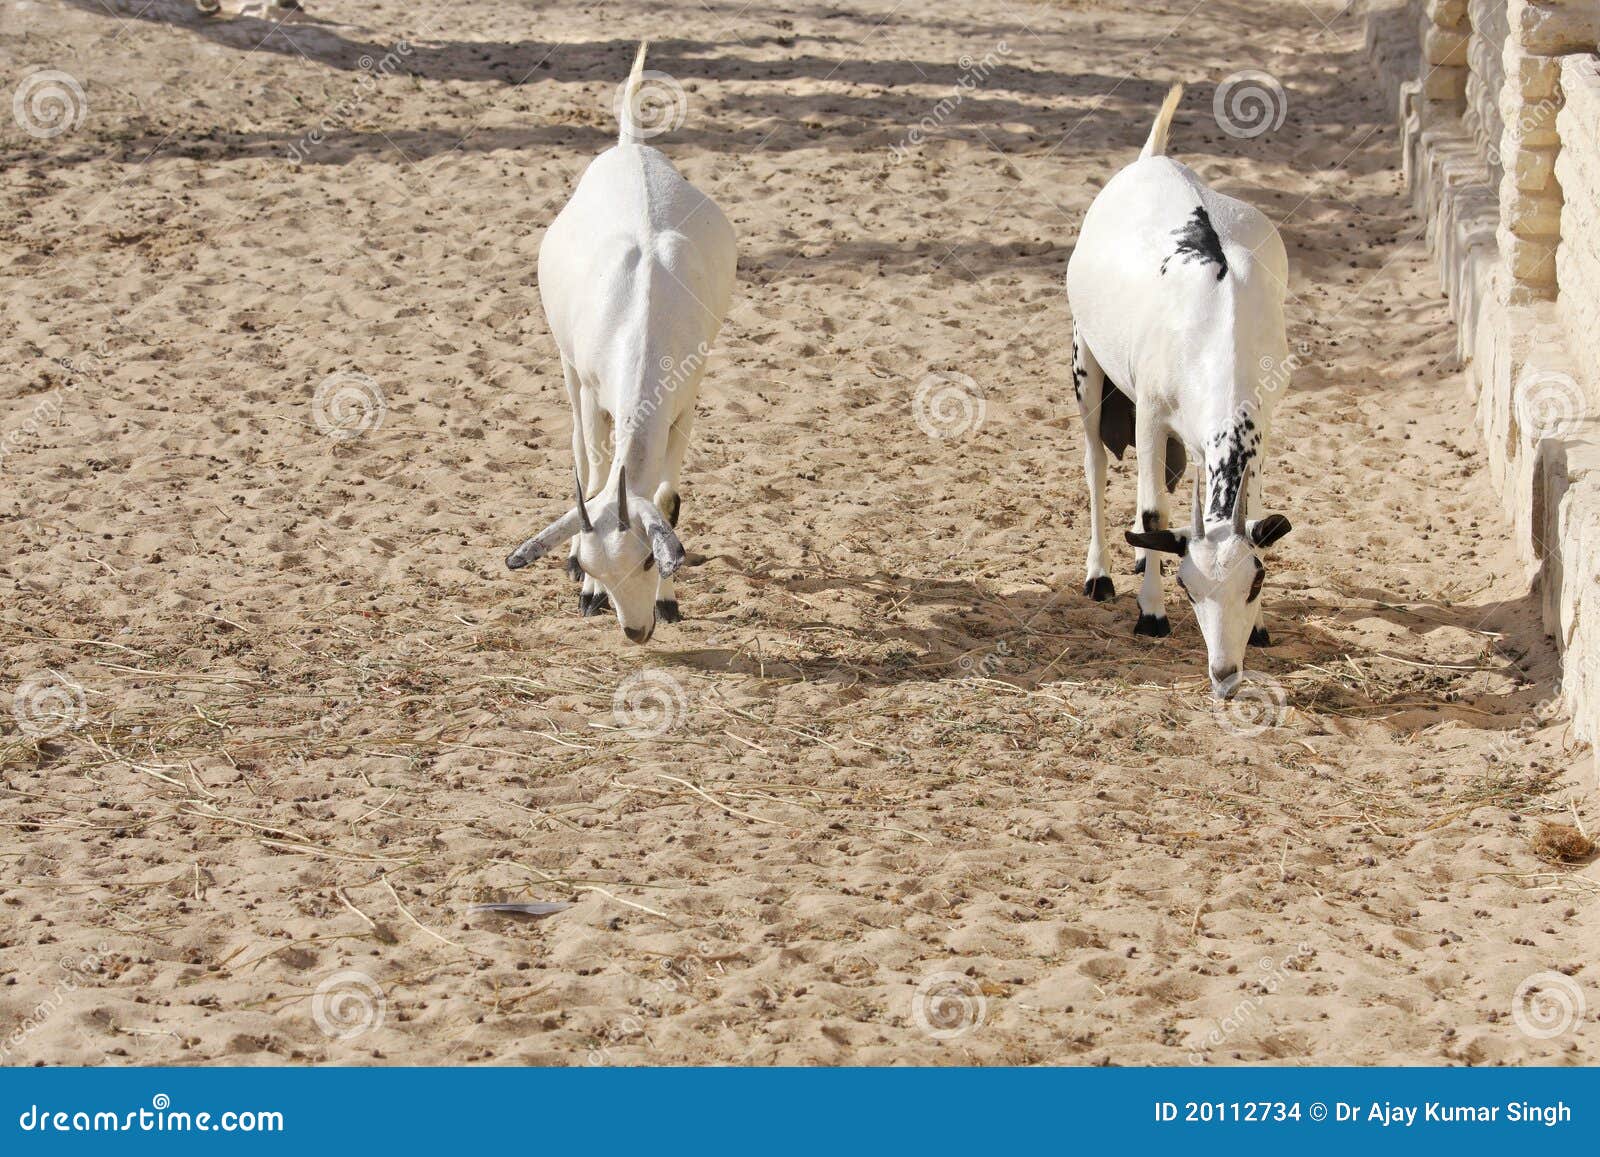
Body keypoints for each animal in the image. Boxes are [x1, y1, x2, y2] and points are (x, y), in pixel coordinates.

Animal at [506, 42, 737, 643]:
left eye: (650, 560)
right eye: (598, 566)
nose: (635, 632)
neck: (644, 311)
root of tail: (632, 148)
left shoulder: (686, 401)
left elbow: (665, 496)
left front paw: (670, 604)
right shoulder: (593, 395)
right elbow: (593, 470)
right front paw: (583, 588)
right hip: (569, 370)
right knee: (582, 454)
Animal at [1065, 84, 1294, 698]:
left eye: (1255, 584)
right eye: (1191, 590)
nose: (1225, 675)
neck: (1218, 319)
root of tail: (1153, 158)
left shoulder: (1264, 419)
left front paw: (1261, 628)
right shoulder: (1149, 414)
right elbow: (1152, 515)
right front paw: (1151, 613)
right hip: (1085, 360)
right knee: (1095, 464)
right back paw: (1100, 574)